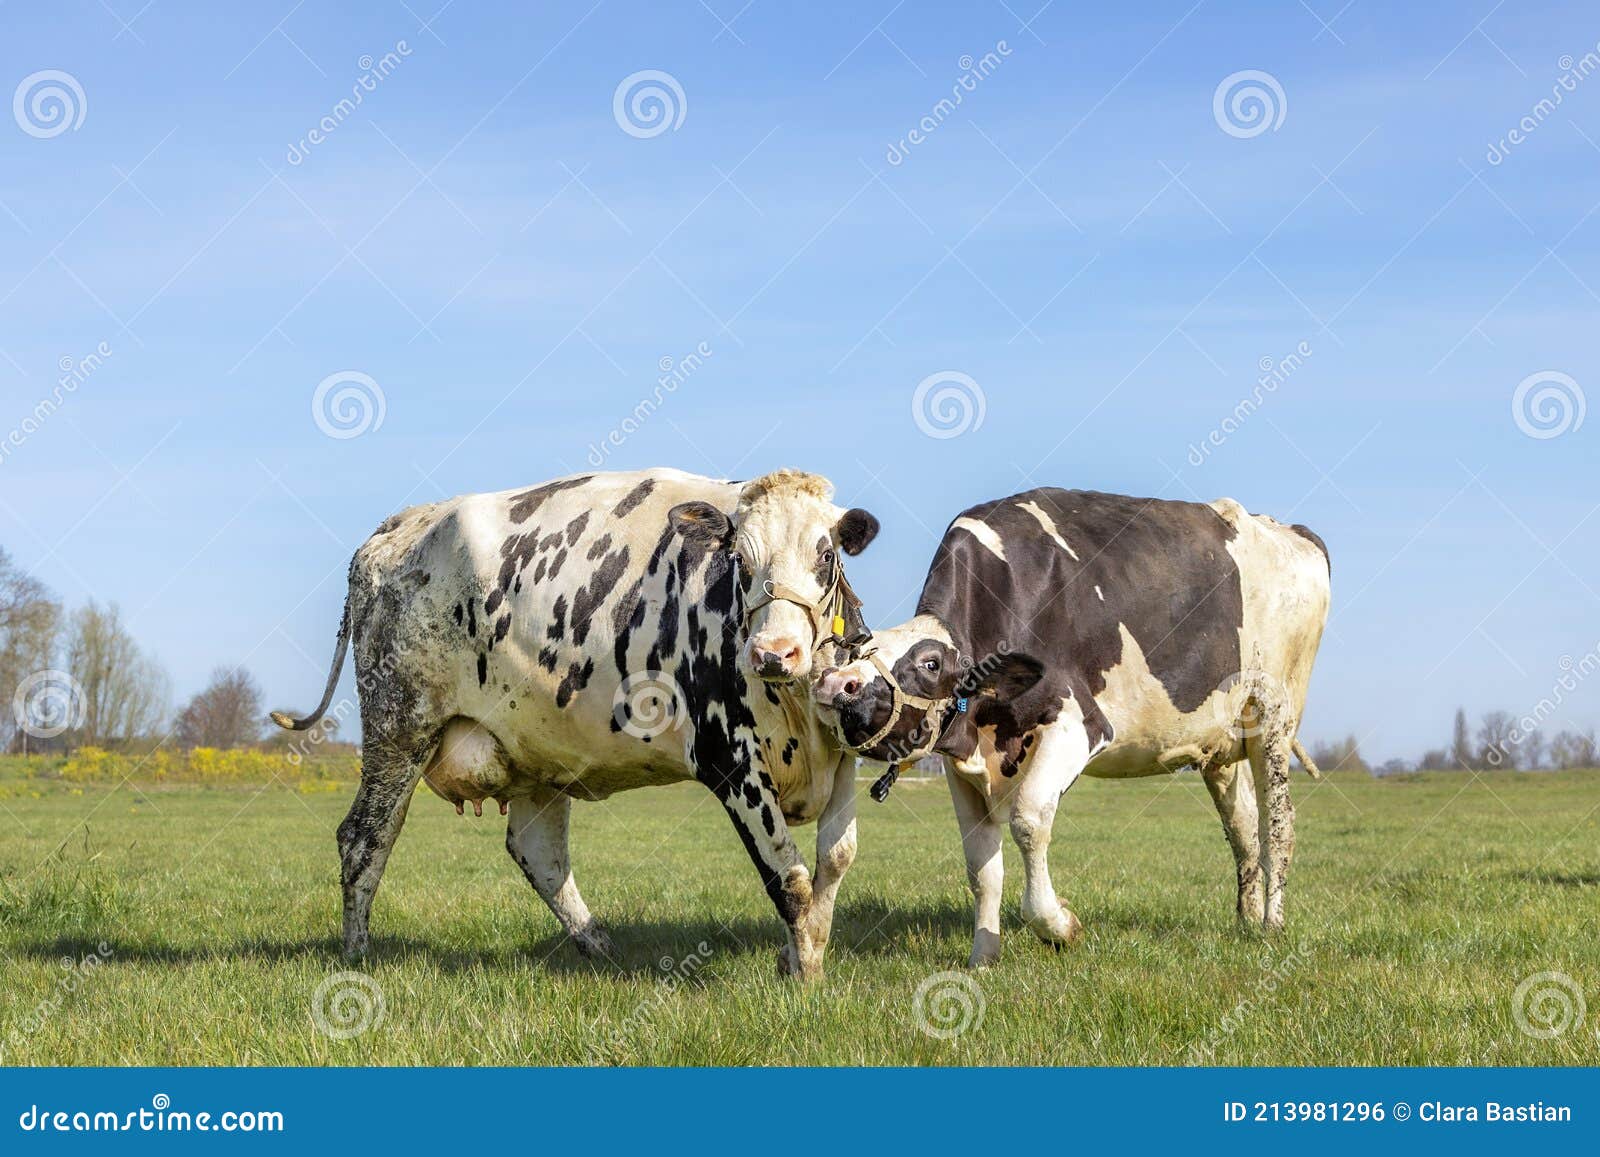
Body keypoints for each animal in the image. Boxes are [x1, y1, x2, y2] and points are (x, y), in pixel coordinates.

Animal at [271, 467, 880, 980]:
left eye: (826, 556)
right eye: (741, 563)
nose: (775, 653)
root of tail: (402, 524)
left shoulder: (842, 755)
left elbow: (835, 862)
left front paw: (800, 957)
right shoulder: (727, 758)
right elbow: (791, 880)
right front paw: (806, 979)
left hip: (537, 750)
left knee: (538, 855)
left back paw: (602, 948)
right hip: (399, 727)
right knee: (363, 839)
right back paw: (356, 956)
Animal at [811, 488, 1329, 968]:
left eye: (930, 663)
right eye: (860, 650)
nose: (837, 684)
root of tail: (1290, 530)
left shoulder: (1080, 725)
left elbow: (1028, 820)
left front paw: (1059, 925)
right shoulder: (960, 762)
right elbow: (981, 866)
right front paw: (984, 956)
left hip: (1274, 716)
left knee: (1277, 824)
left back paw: (1272, 925)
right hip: (1219, 743)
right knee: (1243, 827)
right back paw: (1247, 917)